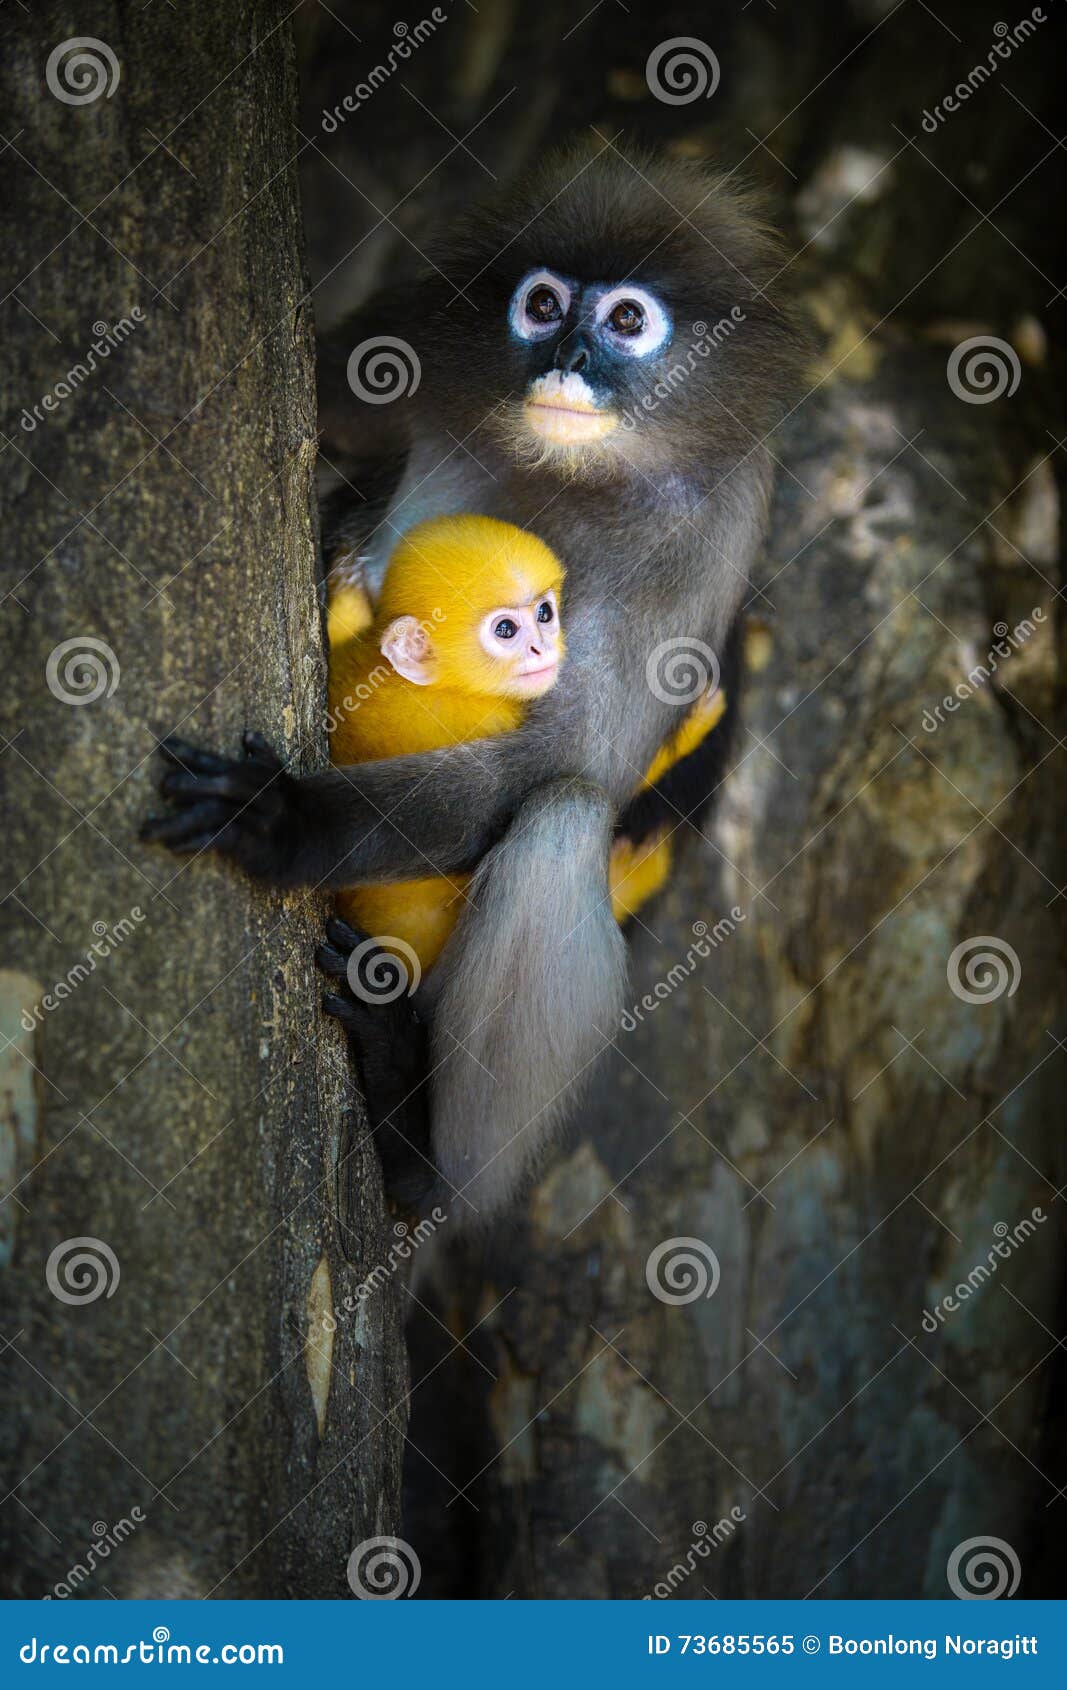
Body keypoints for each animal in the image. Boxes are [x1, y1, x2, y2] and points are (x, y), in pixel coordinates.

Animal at [141, 142, 803, 1225]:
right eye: (540, 305)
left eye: (627, 321)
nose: (564, 360)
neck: (575, 470)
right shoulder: (418, 340)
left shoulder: (698, 534)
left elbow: (565, 764)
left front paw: (282, 820)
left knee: (561, 823)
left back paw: (422, 1160)